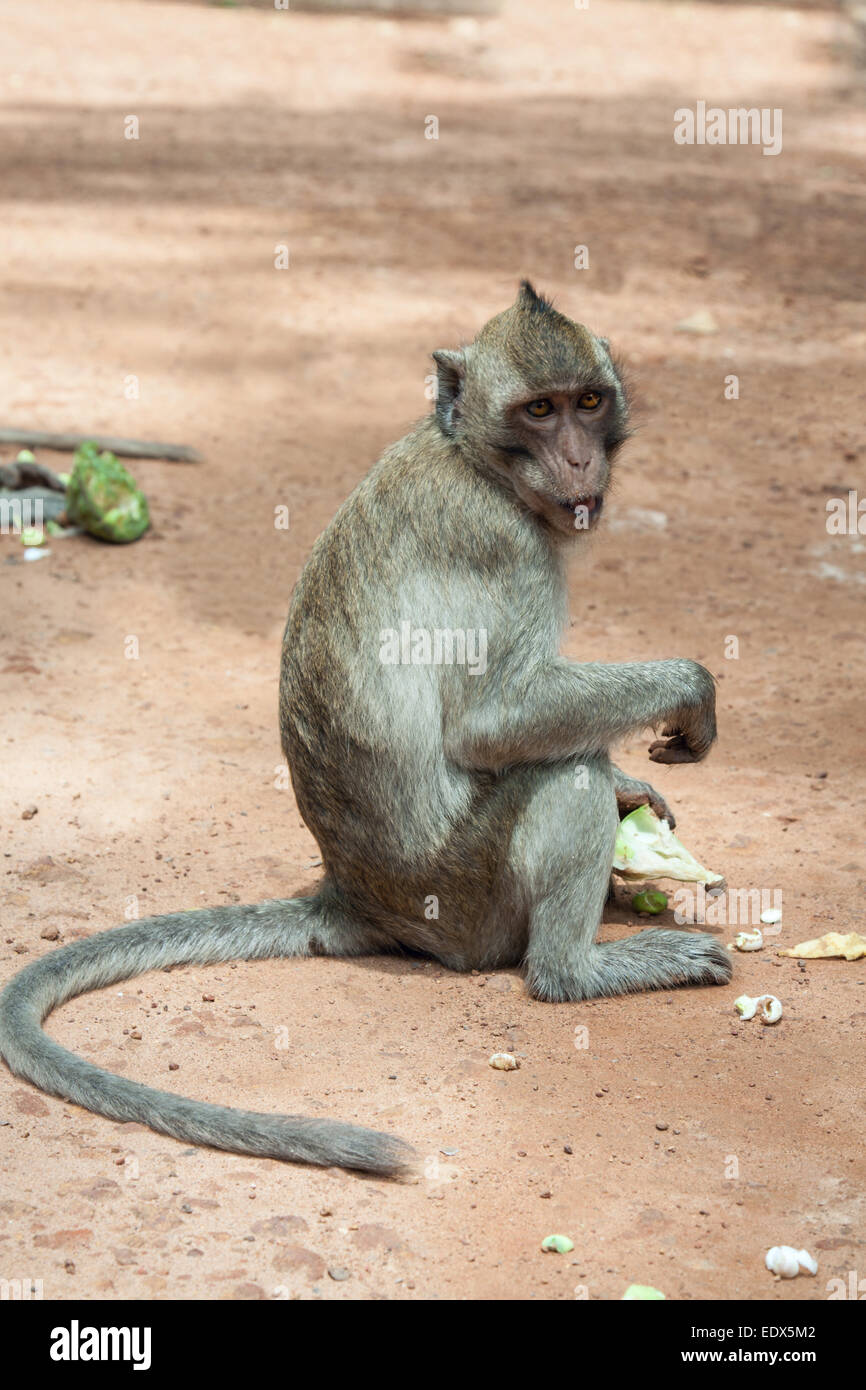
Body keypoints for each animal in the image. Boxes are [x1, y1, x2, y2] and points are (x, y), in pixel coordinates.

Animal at [0, 282, 730, 1177]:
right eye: (538, 410)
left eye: (588, 403)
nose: (578, 463)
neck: (472, 460)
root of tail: (351, 894)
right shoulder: (502, 543)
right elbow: (496, 721)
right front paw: (690, 689)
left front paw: (638, 786)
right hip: (464, 898)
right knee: (566, 772)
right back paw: (577, 972)